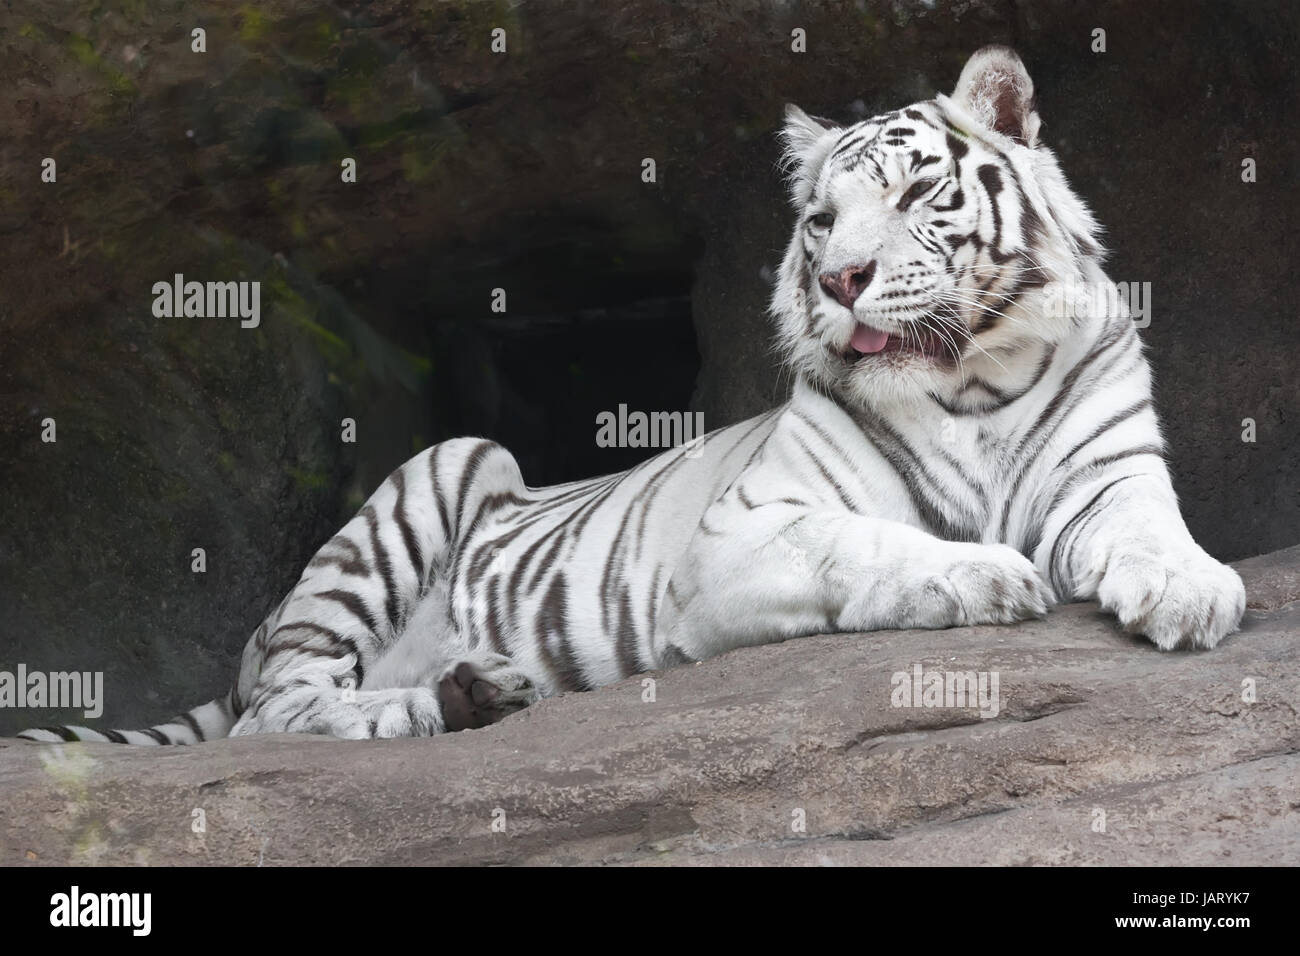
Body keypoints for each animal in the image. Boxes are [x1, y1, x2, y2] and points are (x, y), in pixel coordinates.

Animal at [18, 46, 1245, 746]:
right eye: (821, 220)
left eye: (912, 194)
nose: (841, 277)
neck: (974, 377)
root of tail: (252, 636)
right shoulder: (742, 532)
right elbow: (870, 544)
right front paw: (983, 572)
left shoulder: (1109, 473)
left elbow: (1152, 529)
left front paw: (1193, 591)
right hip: (447, 470)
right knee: (280, 713)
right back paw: (437, 703)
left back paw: (477, 691)